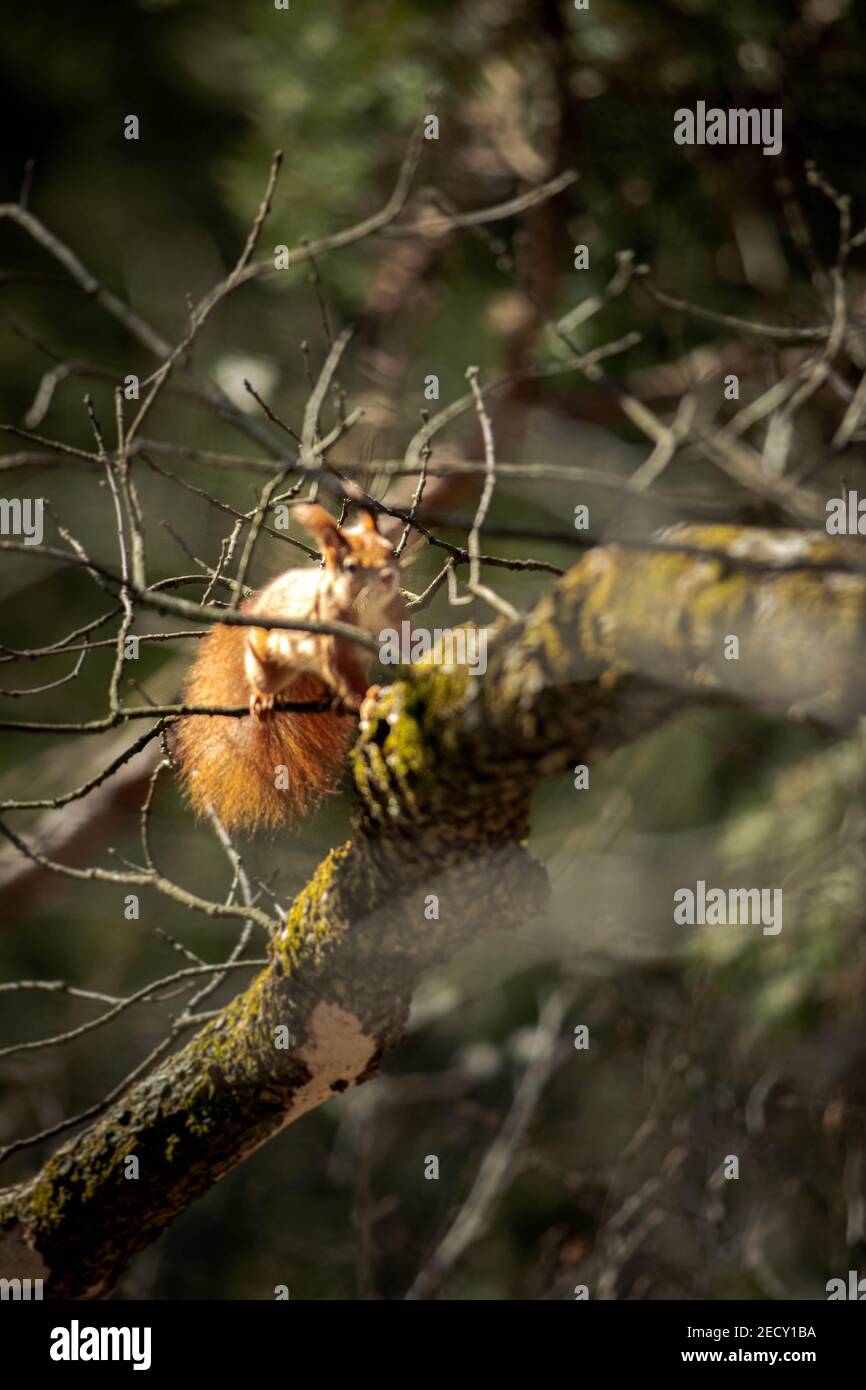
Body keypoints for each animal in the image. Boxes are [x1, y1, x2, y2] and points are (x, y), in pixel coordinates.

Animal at [175, 503, 407, 832]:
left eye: (391, 552)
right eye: (351, 567)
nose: (387, 577)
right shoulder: (334, 644)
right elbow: (348, 676)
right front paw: (368, 700)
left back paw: (333, 699)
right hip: (268, 660)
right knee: (264, 678)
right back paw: (263, 700)